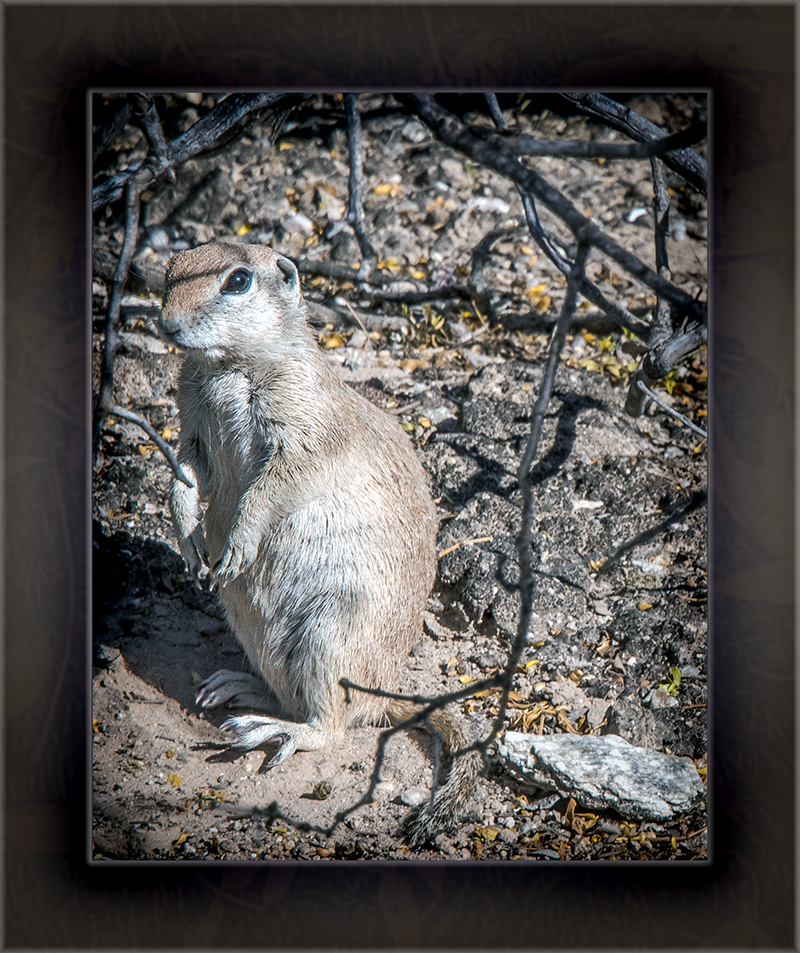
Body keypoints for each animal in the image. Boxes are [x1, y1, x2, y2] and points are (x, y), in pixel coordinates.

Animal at [157, 242, 480, 845]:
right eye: (169, 271)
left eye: (238, 280)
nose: (166, 324)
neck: (227, 366)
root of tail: (388, 688)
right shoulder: (191, 422)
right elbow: (184, 474)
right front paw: (191, 542)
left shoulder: (303, 426)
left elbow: (273, 485)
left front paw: (234, 546)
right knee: (292, 694)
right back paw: (236, 688)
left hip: (329, 636)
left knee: (333, 726)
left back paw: (274, 731)